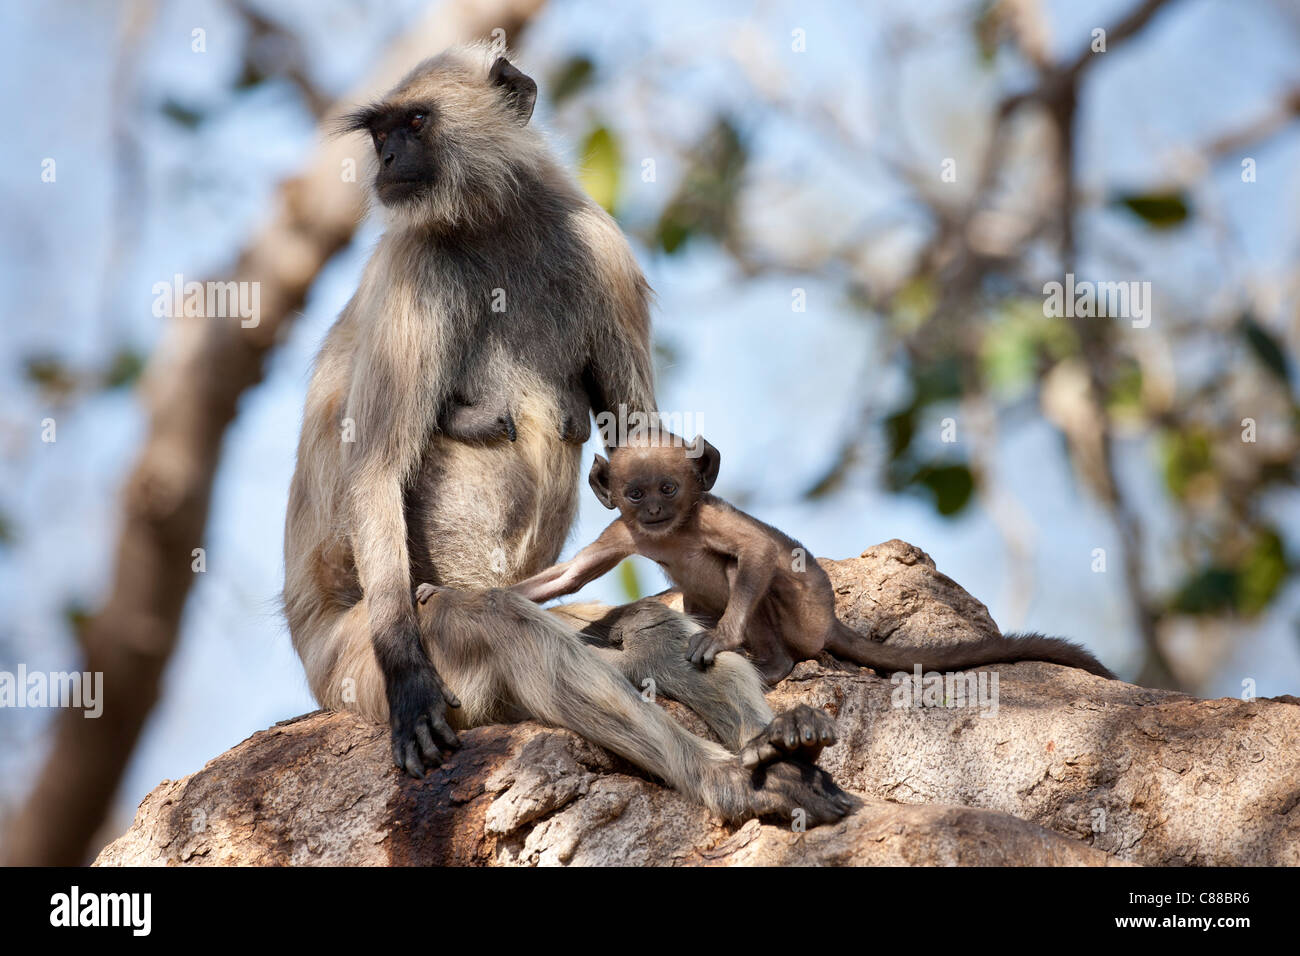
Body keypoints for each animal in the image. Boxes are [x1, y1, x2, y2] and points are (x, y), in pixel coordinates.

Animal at [282, 45, 855, 824]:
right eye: (382, 134)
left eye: (415, 123)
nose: (390, 157)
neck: (493, 224)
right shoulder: (412, 268)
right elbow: (375, 468)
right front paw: (411, 681)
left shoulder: (598, 242)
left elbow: (637, 427)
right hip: (353, 663)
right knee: (497, 624)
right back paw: (735, 780)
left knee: (643, 629)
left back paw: (777, 749)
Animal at [511, 428, 1119, 685]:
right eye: (636, 493)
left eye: (669, 488)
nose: (657, 510)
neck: (670, 534)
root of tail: (830, 624)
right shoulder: (625, 531)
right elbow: (570, 576)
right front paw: (496, 596)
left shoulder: (706, 518)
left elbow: (755, 550)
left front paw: (723, 641)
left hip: (802, 621)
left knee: (751, 572)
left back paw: (774, 664)